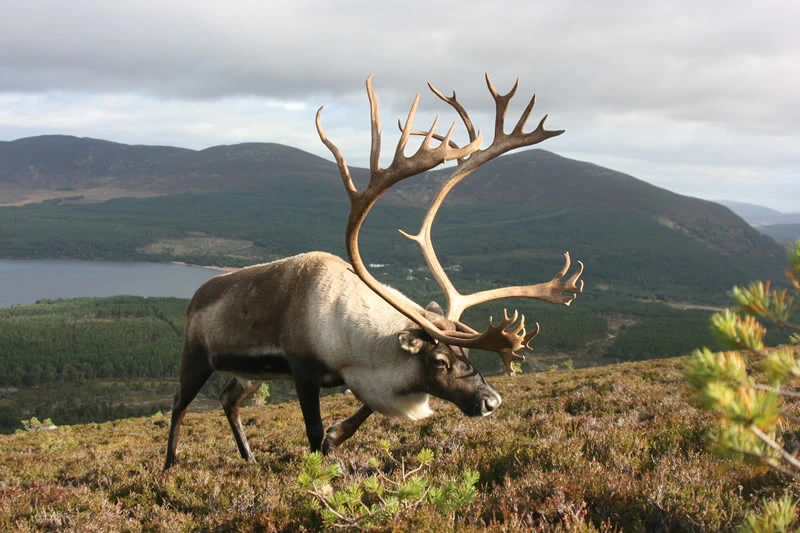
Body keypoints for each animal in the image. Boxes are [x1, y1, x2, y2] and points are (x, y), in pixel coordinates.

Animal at [163, 73, 584, 470]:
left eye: (466, 355)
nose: (491, 400)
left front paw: (337, 435)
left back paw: (248, 458)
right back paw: (169, 466)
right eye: (440, 362)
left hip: (250, 373)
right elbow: (313, 431)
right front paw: (323, 463)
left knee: (227, 399)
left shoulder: (358, 377)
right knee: (179, 404)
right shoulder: (303, 371)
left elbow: (363, 411)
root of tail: (195, 296)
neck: (343, 332)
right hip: (196, 357)